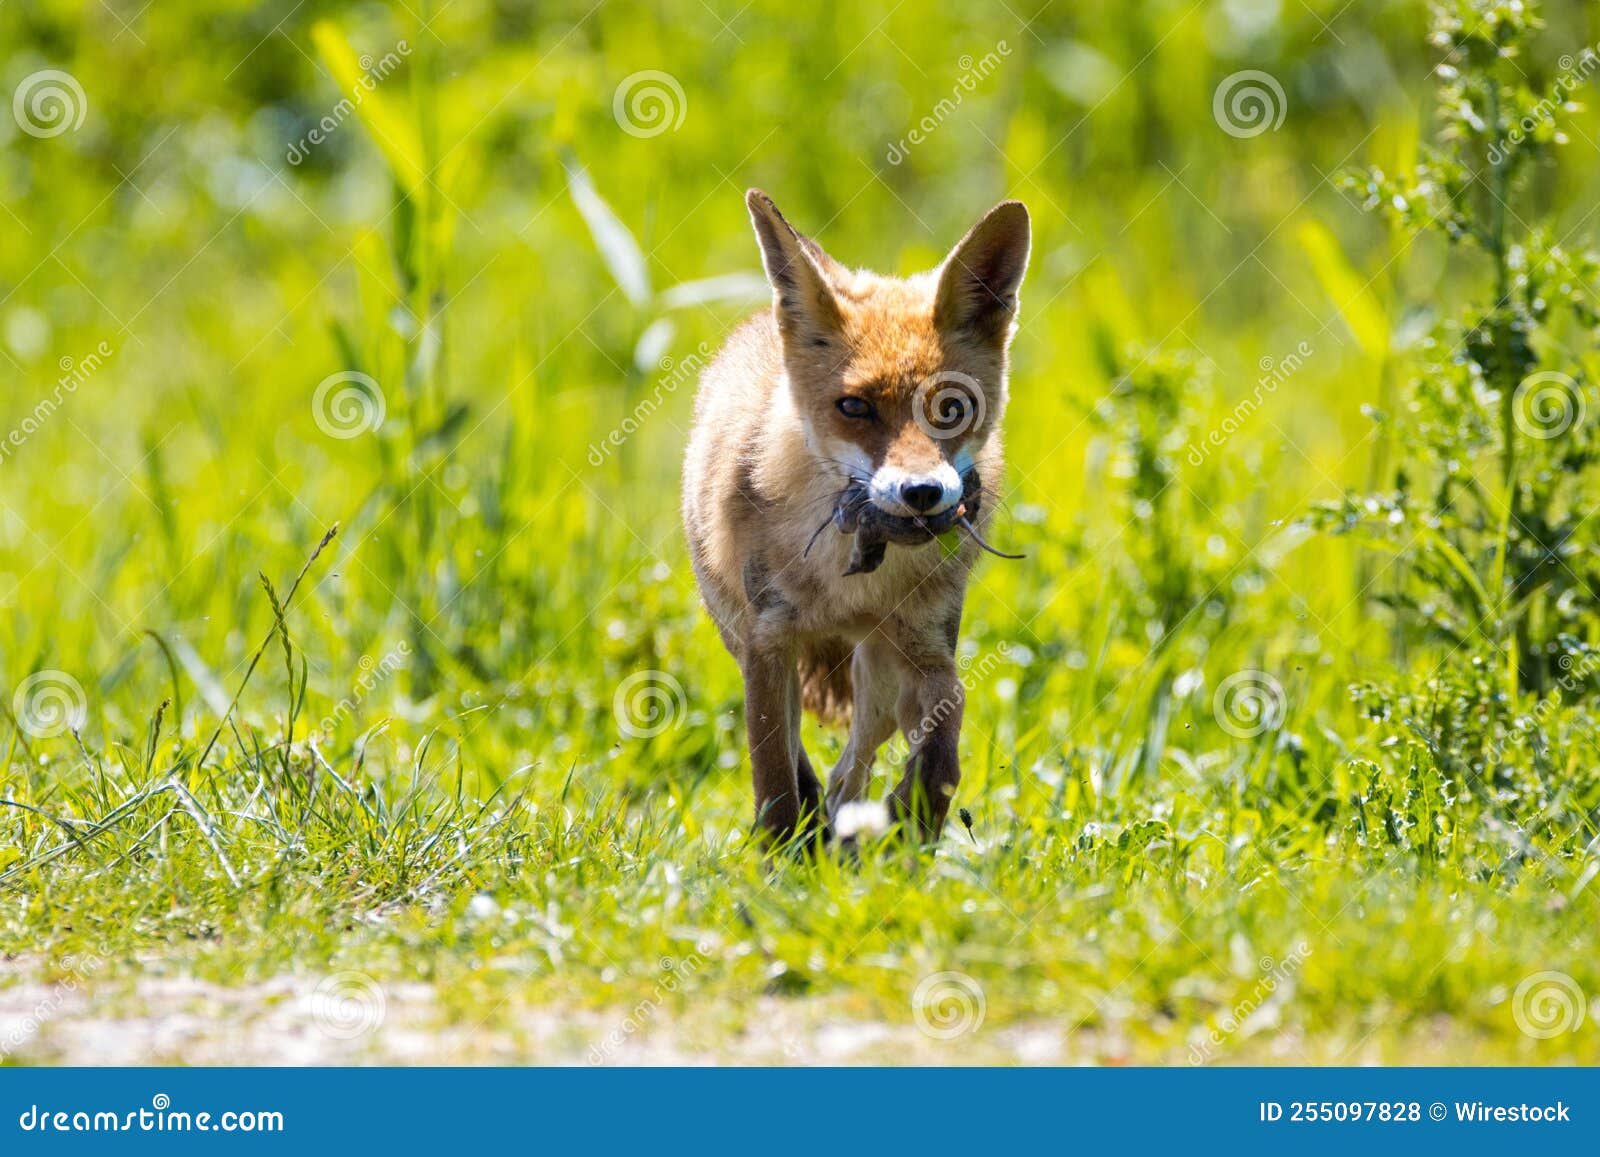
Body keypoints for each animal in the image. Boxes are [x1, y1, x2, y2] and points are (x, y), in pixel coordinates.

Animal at [682, 189, 1030, 849]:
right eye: (854, 406)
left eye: (953, 408)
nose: (922, 493)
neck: (852, 578)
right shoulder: (768, 643)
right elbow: (773, 774)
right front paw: (783, 857)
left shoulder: (925, 644)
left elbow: (946, 733)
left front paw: (914, 822)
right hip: (740, 633)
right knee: (810, 756)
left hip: (879, 669)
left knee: (858, 756)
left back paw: (850, 824)